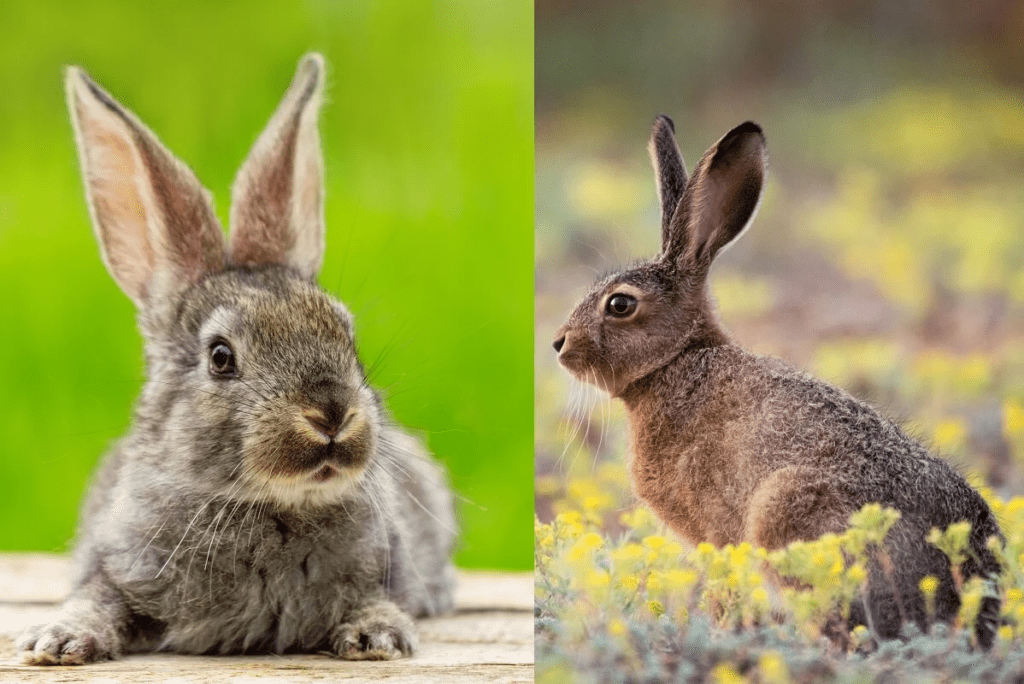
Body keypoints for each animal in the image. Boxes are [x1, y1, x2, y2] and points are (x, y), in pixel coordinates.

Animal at [15, 54, 456, 666]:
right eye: (221, 357)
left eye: (346, 334)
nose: (331, 414)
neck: (267, 505)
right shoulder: (115, 564)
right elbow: (96, 597)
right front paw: (57, 641)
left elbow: (375, 599)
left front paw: (377, 637)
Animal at [552, 116, 1002, 647]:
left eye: (620, 304)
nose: (559, 344)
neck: (677, 360)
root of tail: (975, 599)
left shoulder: (717, 529)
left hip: (781, 510)